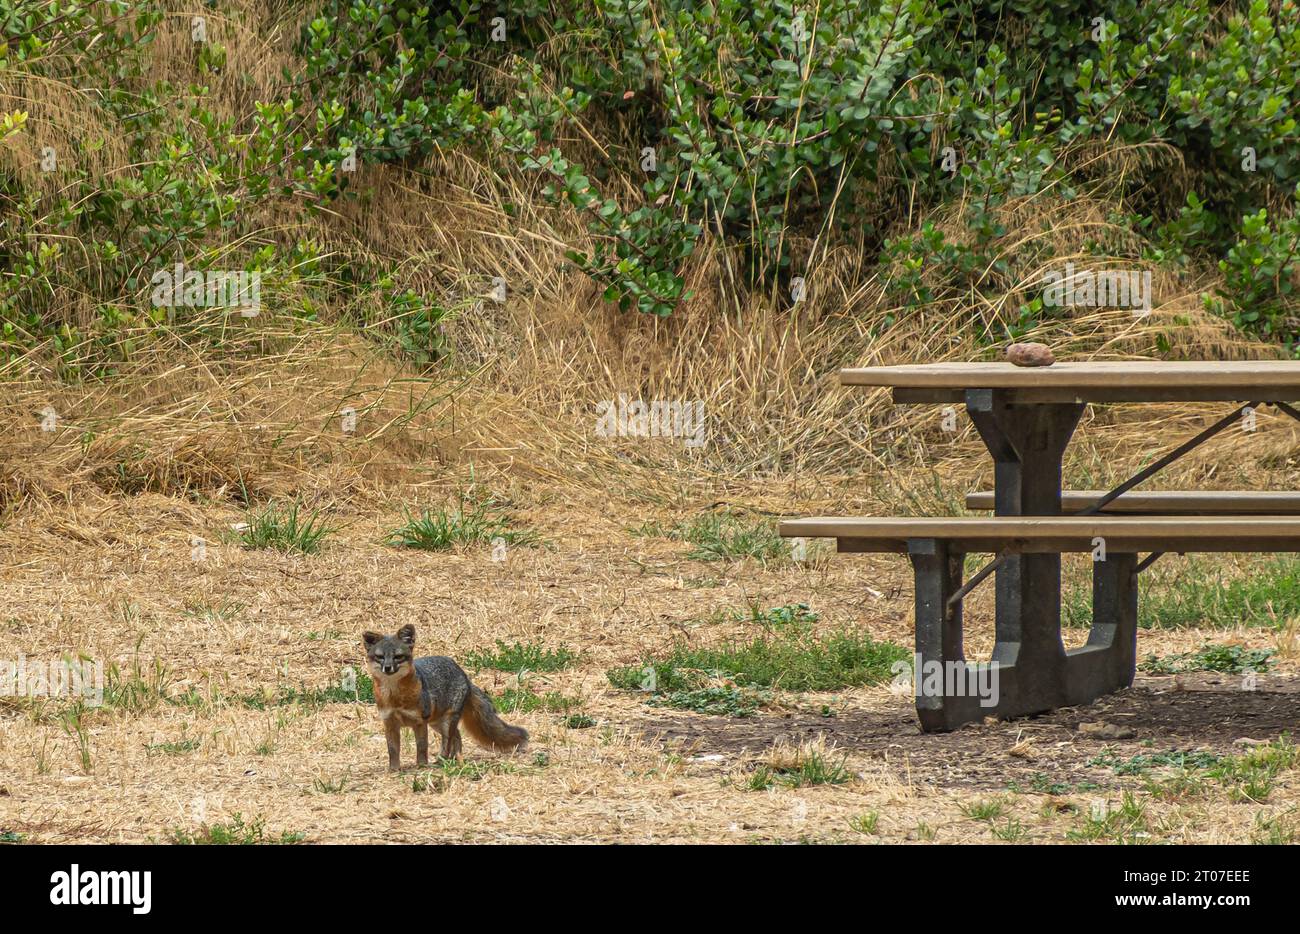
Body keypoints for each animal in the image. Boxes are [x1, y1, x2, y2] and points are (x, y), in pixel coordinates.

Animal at [362, 624, 528, 771]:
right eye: (380, 657)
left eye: (398, 657)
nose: (387, 668)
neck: (395, 697)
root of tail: (463, 674)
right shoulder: (389, 723)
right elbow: (393, 750)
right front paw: (394, 769)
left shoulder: (419, 722)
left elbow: (422, 748)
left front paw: (422, 767)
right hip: (436, 723)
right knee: (457, 736)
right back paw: (454, 759)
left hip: (445, 722)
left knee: (449, 741)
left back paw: (445, 760)